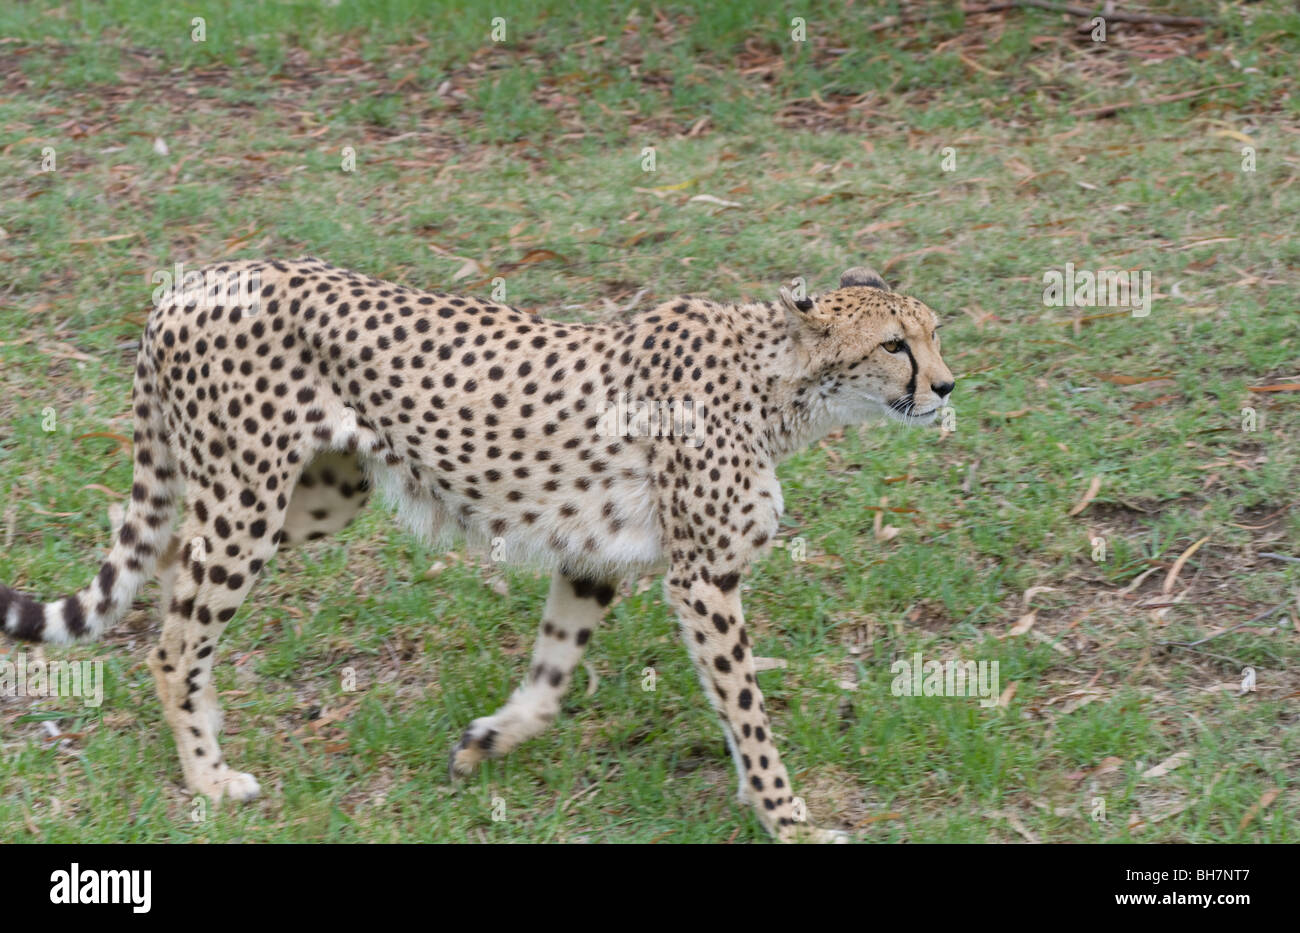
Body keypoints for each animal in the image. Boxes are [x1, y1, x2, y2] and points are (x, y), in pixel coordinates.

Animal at [1, 258, 954, 842]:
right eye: (893, 344)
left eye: (934, 330)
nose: (947, 385)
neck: (777, 387)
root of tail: (194, 280)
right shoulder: (703, 581)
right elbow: (749, 719)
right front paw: (792, 819)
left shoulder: (593, 555)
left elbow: (550, 678)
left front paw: (486, 742)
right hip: (247, 502)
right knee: (172, 638)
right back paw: (206, 776)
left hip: (313, 494)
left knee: (166, 575)